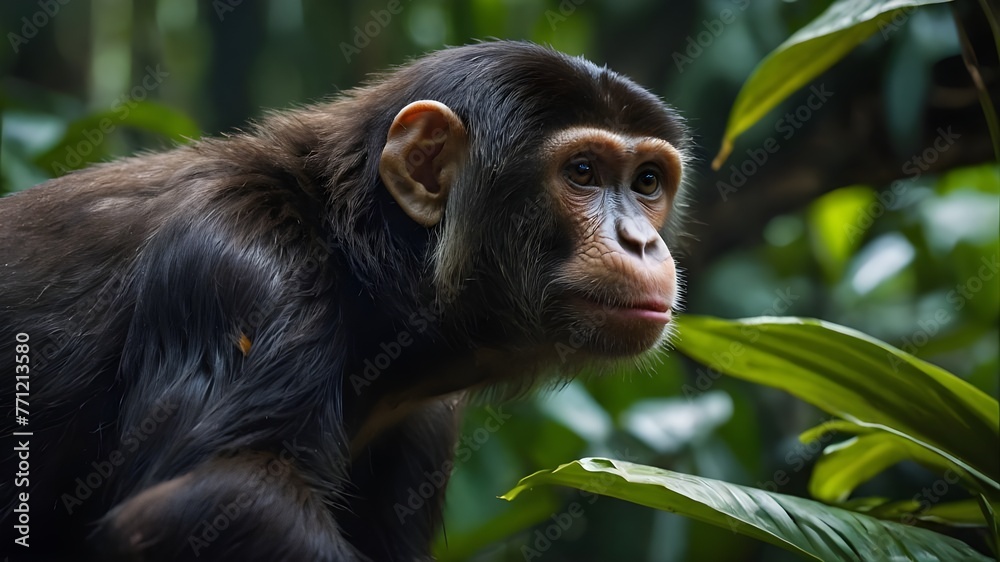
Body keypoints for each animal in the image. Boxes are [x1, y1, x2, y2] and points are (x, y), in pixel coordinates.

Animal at [0, 41, 689, 561]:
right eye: (583, 172)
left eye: (646, 182)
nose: (640, 239)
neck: (360, 264)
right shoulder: (244, 265)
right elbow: (213, 495)